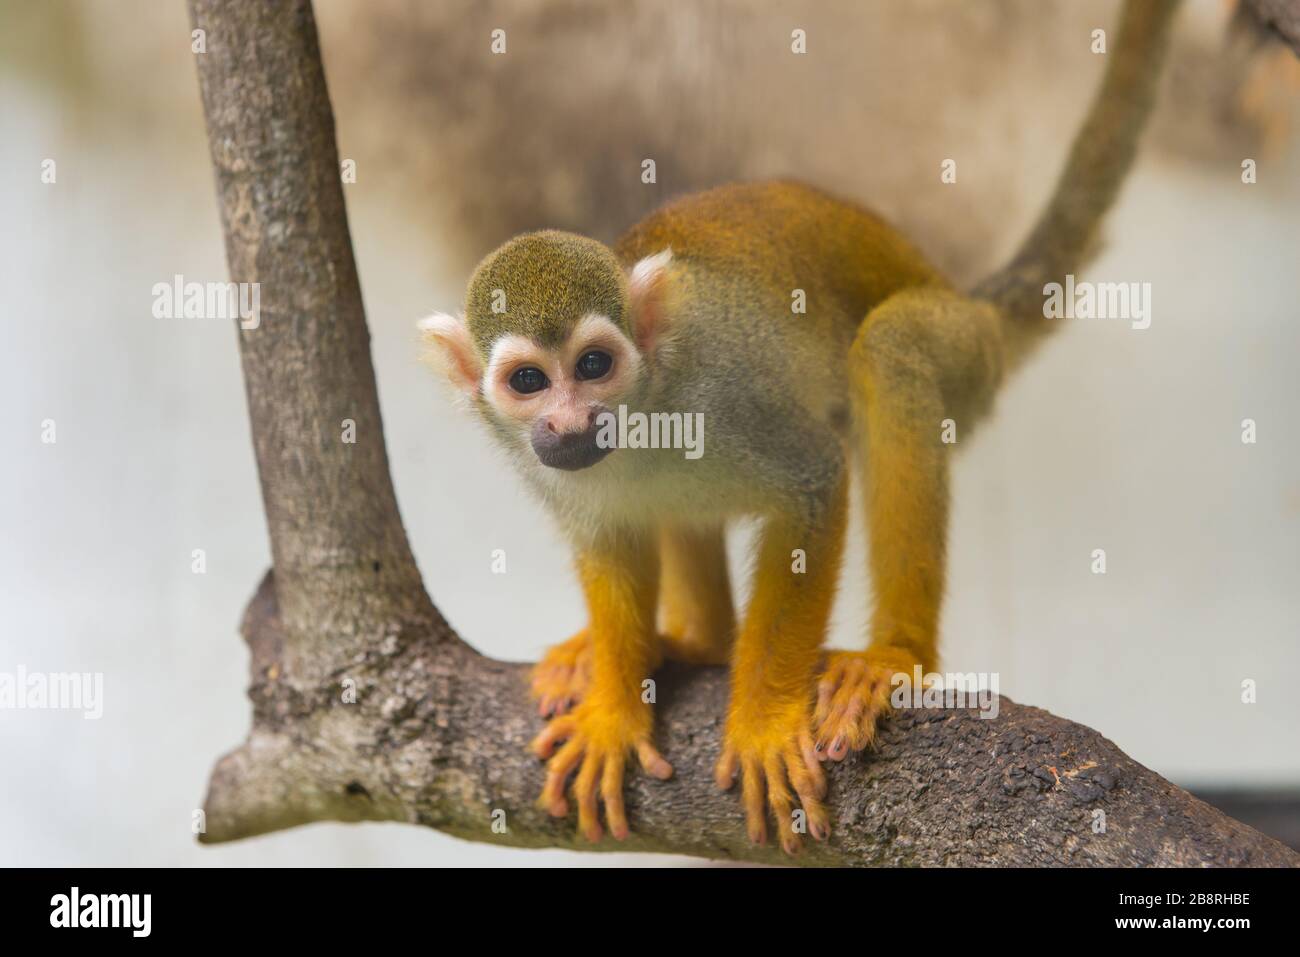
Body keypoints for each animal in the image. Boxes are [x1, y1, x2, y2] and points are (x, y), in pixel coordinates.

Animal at [420, 0, 1181, 854]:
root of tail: (968, 298)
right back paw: (694, 641)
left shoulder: (725, 390)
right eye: (527, 381)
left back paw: (893, 655)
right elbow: (611, 540)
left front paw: (759, 721)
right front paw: (616, 707)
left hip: (966, 353)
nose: (570, 419)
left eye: (592, 365)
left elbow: (813, 483)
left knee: (892, 348)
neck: (647, 403)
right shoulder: (550, 467)